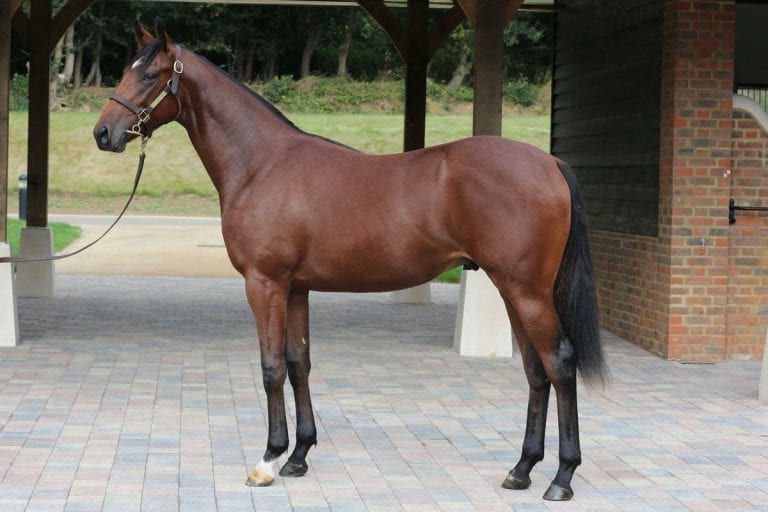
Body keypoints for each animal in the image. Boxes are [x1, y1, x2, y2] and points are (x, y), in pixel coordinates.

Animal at [94, 19, 606, 502]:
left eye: (151, 74)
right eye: (125, 70)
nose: (103, 133)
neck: (262, 164)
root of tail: (549, 164)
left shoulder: (265, 283)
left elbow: (271, 367)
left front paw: (268, 460)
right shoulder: (296, 288)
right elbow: (298, 363)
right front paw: (298, 456)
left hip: (527, 290)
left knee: (560, 364)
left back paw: (561, 477)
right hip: (511, 288)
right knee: (536, 371)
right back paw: (521, 469)